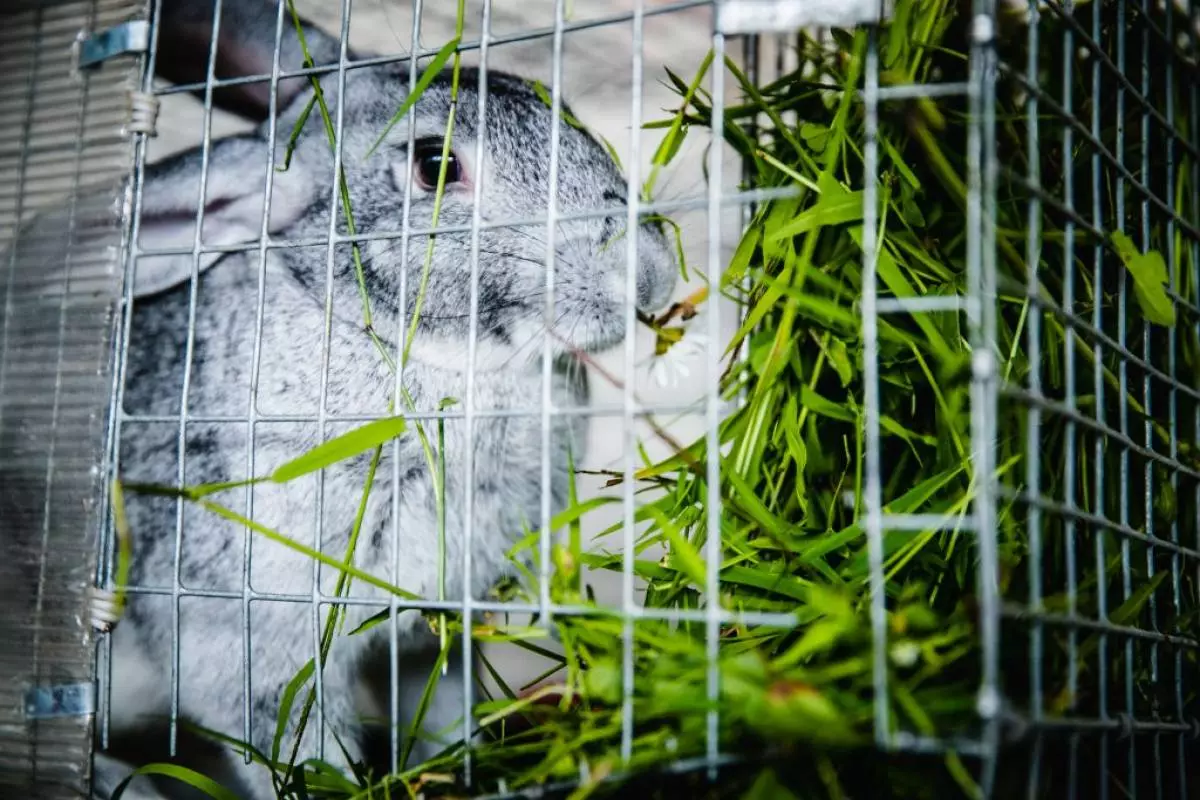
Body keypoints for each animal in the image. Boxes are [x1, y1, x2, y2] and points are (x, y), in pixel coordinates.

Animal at [87, 3, 676, 796]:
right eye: (435, 165)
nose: (650, 274)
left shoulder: (436, 633)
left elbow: (443, 710)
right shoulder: (249, 646)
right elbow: (296, 751)